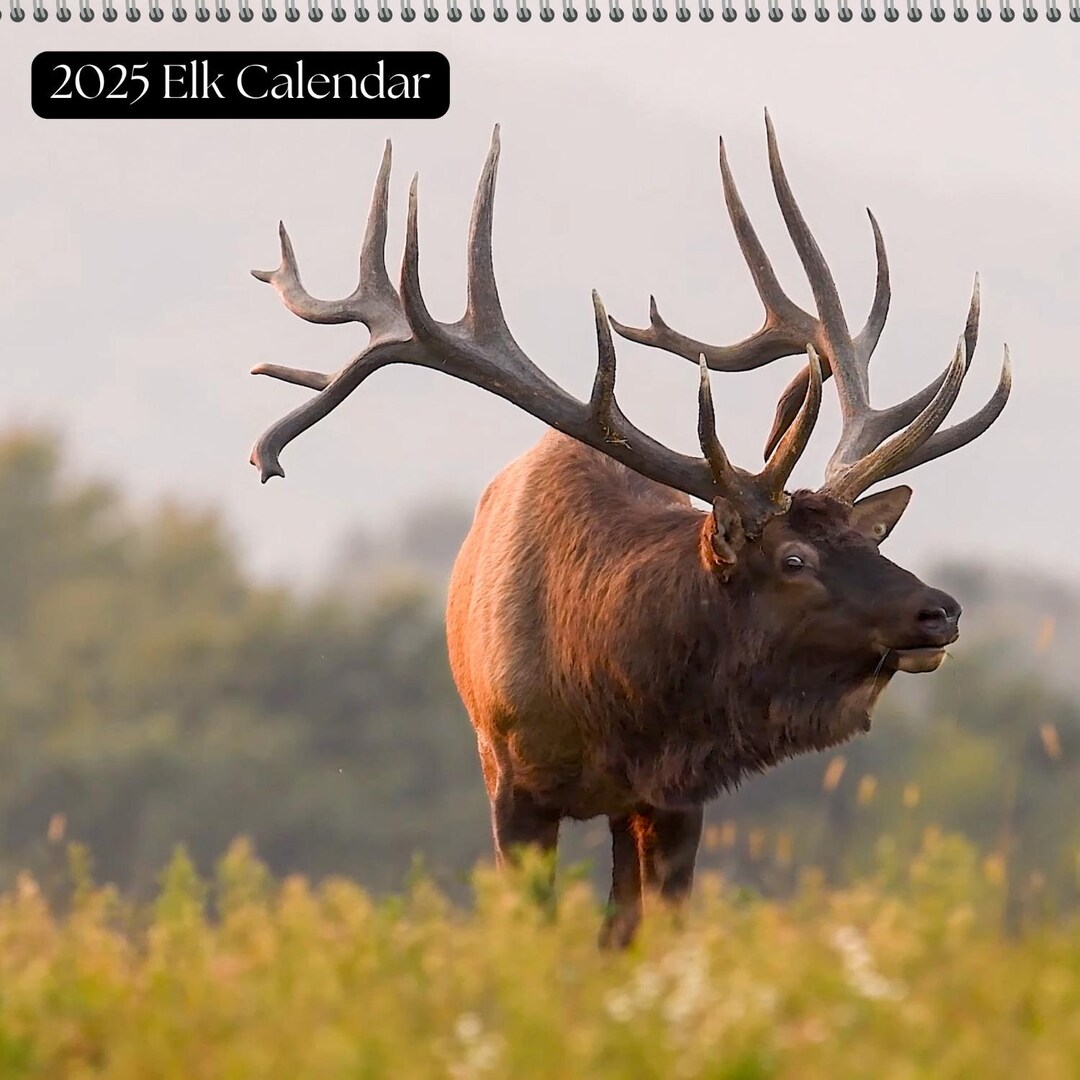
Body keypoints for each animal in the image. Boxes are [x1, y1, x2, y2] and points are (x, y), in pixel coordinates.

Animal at [246, 115, 1011, 947]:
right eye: (794, 558)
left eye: (872, 540)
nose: (941, 610)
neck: (607, 693)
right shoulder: (513, 779)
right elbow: (532, 928)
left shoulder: (676, 796)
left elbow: (648, 933)